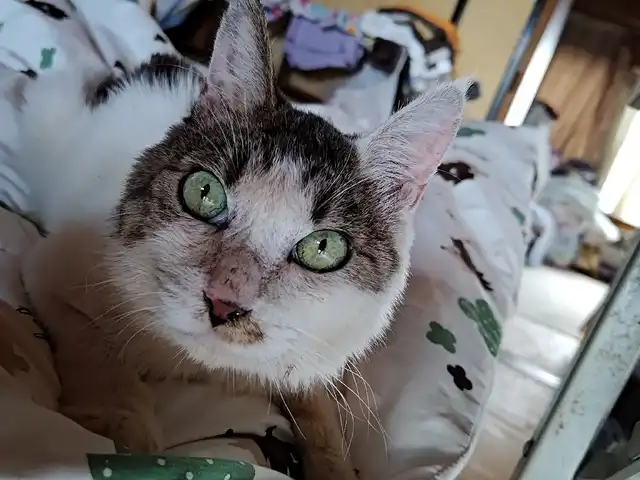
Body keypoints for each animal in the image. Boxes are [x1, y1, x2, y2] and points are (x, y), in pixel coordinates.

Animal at [12, 0, 464, 477]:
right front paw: (124, 430)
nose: (223, 303)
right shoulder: (55, 267)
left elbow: (318, 405)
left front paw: (334, 464)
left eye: (323, 248)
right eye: (203, 192)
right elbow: (91, 341)